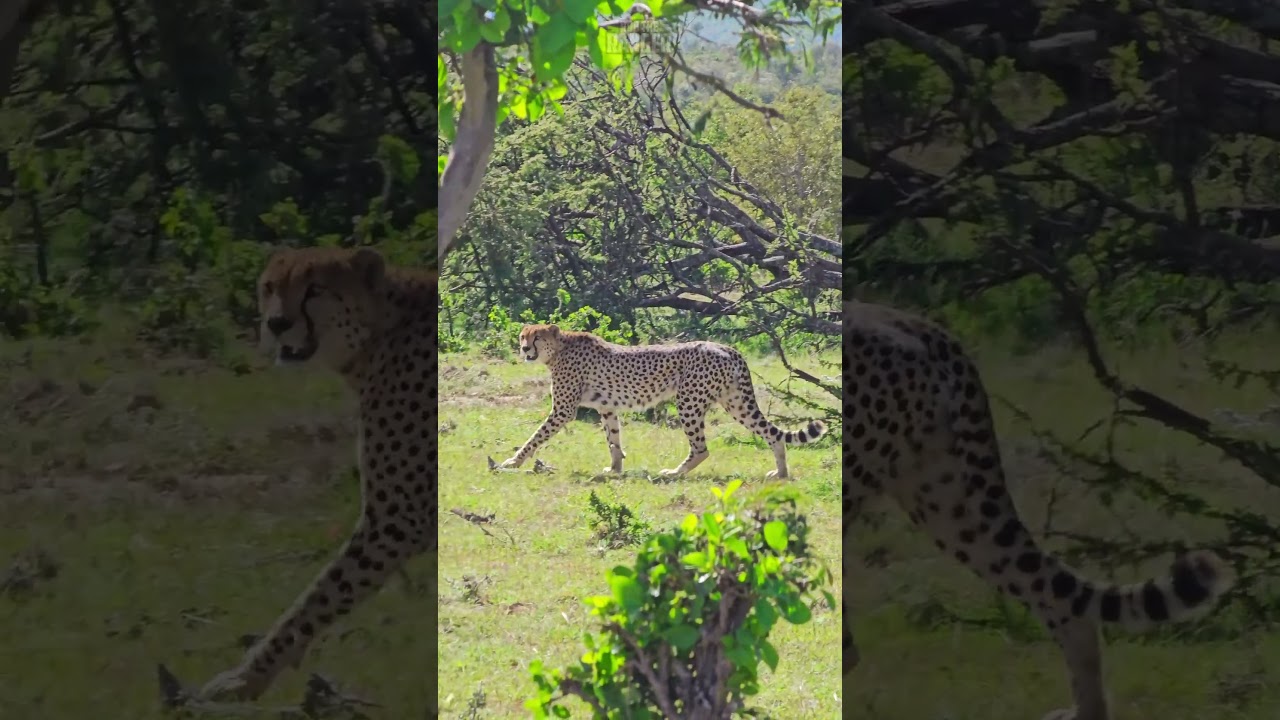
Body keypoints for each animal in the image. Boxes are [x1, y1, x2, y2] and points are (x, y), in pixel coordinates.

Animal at [193, 247, 437, 704]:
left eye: (315, 290)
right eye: (271, 286)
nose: (276, 324)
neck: (379, 334)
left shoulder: (397, 517)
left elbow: (316, 599)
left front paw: (245, 679)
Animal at [501, 324, 828, 478]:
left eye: (536, 338)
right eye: (522, 336)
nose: (524, 349)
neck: (559, 348)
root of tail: (727, 347)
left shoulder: (563, 410)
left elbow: (534, 437)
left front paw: (512, 462)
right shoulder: (607, 407)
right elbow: (613, 440)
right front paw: (615, 469)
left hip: (689, 401)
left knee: (701, 448)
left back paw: (675, 473)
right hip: (736, 402)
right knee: (773, 434)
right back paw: (781, 473)